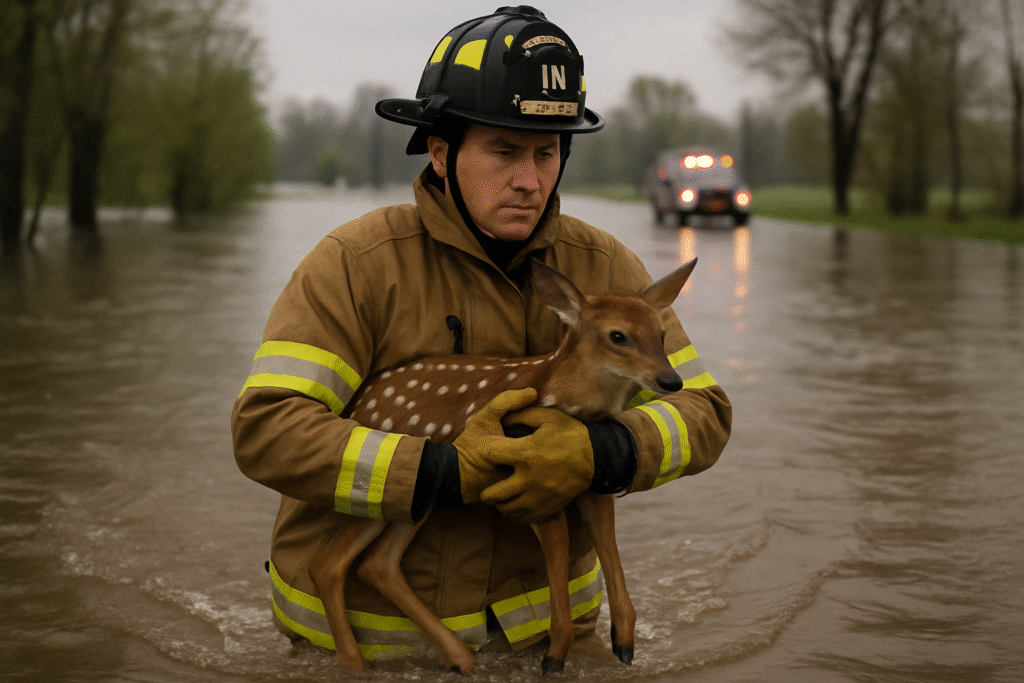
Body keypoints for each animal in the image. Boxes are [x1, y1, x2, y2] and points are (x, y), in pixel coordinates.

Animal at [307, 257, 697, 675]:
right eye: (618, 336)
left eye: (661, 334)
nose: (671, 380)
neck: (563, 396)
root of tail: (357, 405)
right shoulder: (532, 479)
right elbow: (559, 547)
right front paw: (555, 653)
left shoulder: (590, 469)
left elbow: (605, 538)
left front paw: (623, 641)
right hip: (383, 478)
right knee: (328, 563)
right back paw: (356, 664)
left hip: (417, 492)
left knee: (376, 563)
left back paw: (458, 657)